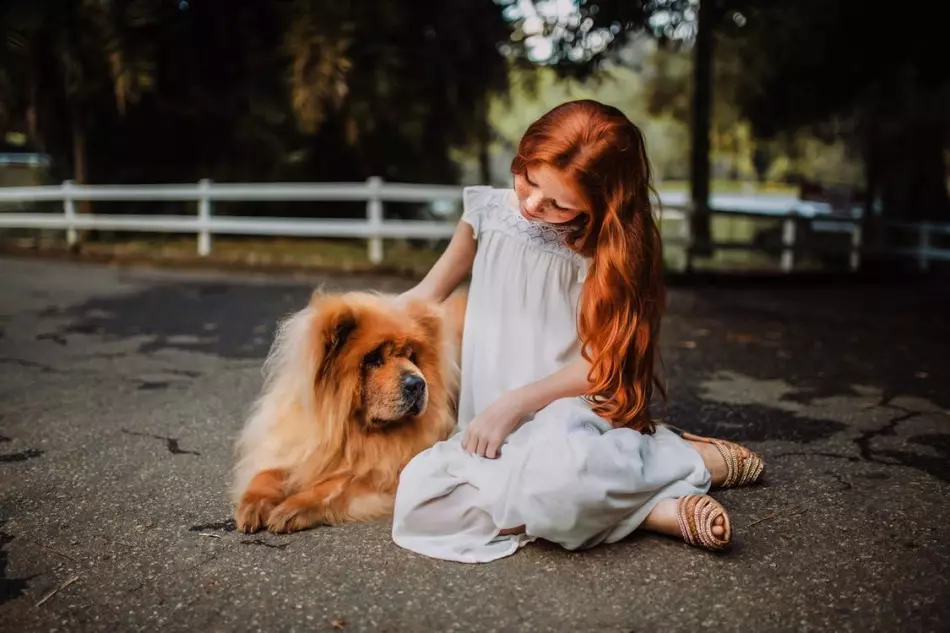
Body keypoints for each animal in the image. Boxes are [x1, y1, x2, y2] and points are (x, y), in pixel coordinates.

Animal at [232, 288, 466, 532]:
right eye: (373, 359)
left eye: (412, 357)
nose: (418, 383)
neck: (351, 431)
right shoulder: (295, 445)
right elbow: (266, 473)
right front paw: (251, 505)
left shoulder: (384, 474)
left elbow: (336, 485)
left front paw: (290, 509)